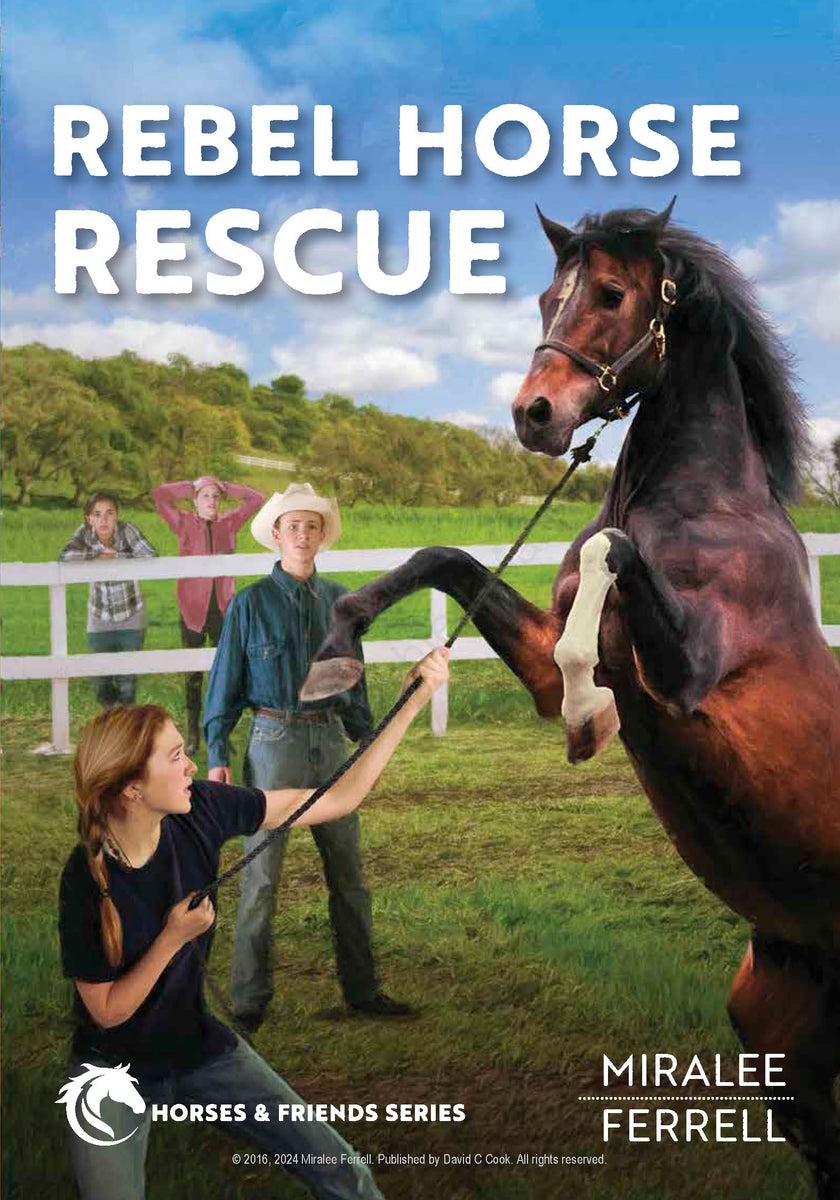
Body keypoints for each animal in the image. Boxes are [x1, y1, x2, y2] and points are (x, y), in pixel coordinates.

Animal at [301, 202, 840, 1197]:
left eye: (615, 293)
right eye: (549, 296)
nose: (534, 414)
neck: (699, 506)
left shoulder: (688, 682)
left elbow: (609, 553)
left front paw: (593, 717)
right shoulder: (541, 660)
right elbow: (447, 560)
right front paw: (335, 655)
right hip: (778, 1033)